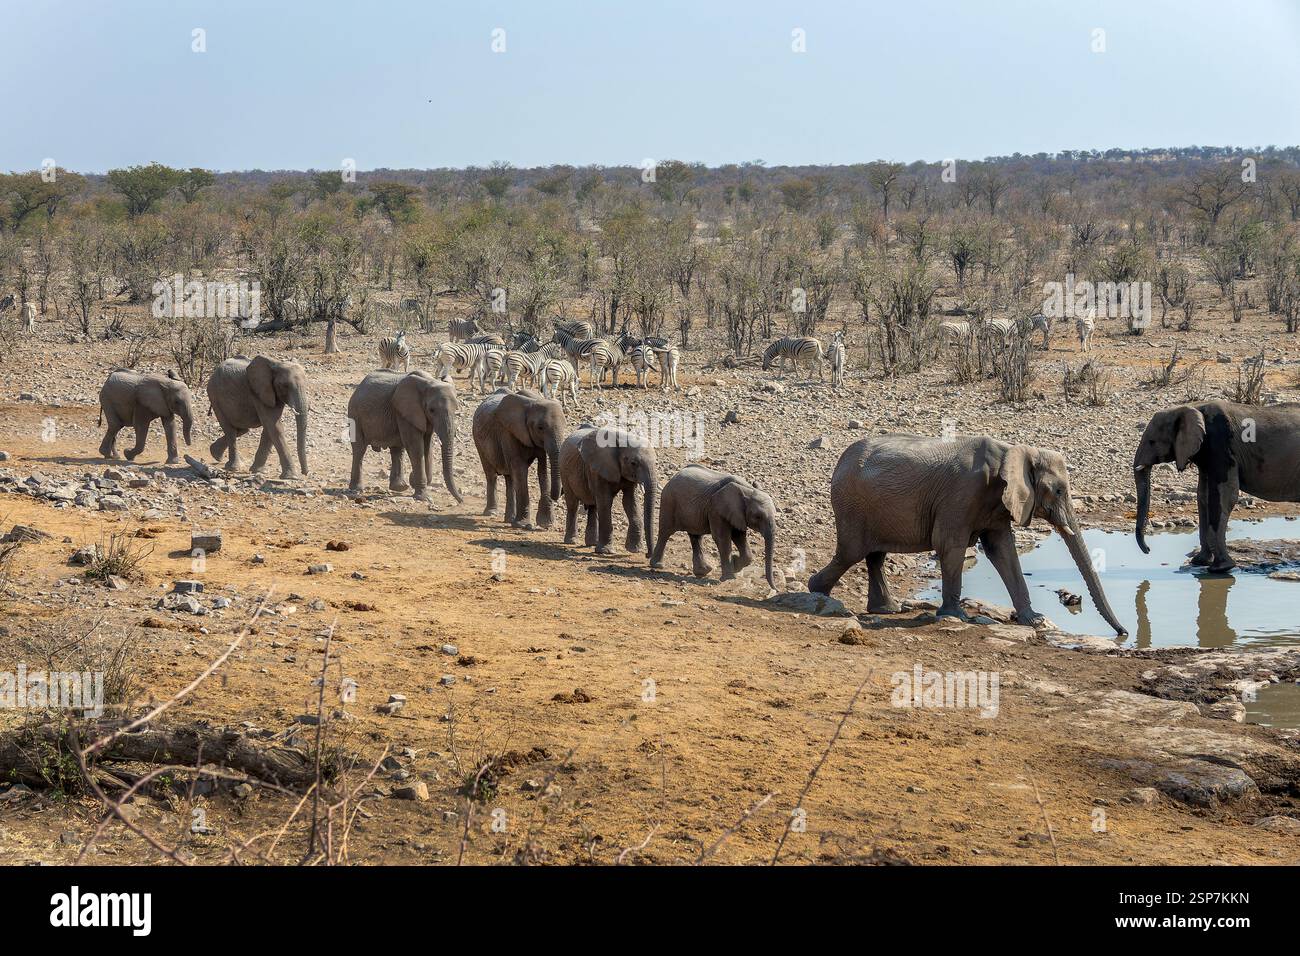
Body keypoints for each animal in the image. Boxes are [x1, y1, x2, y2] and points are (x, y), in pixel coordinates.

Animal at [346, 369, 463, 503]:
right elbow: (415, 447)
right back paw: (356, 489)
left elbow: (427, 446)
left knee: (397, 449)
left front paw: (413, 481)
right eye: (432, 410)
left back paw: (400, 487)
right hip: (355, 415)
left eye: (456, 409)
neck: (429, 381)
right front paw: (424, 497)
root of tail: (360, 385)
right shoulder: (406, 411)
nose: (461, 501)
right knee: (359, 449)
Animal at [471, 387, 564, 529]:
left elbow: (542, 469)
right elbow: (520, 469)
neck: (534, 402)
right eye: (540, 428)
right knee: (491, 474)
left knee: (510, 478)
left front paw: (545, 523)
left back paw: (509, 519)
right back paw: (492, 513)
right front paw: (522, 525)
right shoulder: (509, 432)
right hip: (478, 440)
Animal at [559, 424, 657, 558]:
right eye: (633, 463)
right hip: (564, 471)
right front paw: (606, 551)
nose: (647, 555)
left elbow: (630, 501)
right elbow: (605, 501)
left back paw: (592, 544)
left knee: (593, 506)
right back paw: (571, 541)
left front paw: (634, 550)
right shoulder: (597, 468)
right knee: (573, 504)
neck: (623, 438)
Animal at [807, 434, 1127, 636]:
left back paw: (886, 609)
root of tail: (840, 461)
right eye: (1059, 491)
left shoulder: (998, 503)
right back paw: (816, 590)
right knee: (852, 552)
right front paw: (955, 616)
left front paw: (1034, 620)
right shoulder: (961, 495)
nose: (1123, 632)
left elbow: (1002, 549)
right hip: (852, 505)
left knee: (875, 555)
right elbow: (950, 544)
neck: (1012, 450)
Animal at [1134, 400, 1300, 573]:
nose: (1148, 550)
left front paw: (1220, 569)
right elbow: (1203, 495)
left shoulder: (1221, 445)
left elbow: (1225, 495)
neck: (1192, 407)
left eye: (1152, 442)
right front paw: (1199, 562)